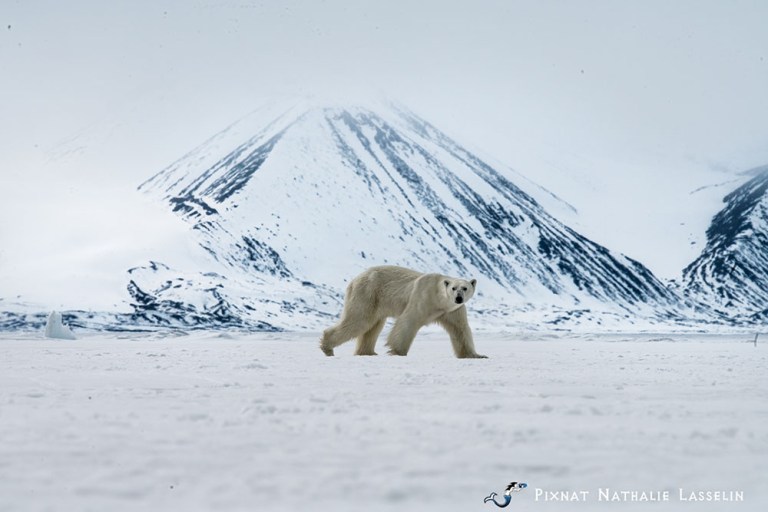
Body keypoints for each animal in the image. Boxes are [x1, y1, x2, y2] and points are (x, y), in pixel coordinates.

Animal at [319, 265, 487, 358]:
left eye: (465, 288)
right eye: (453, 288)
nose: (458, 298)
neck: (439, 300)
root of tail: (354, 280)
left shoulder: (453, 310)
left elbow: (460, 330)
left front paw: (477, 355)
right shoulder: (423, 297)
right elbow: (408, 321)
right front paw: (397, 351)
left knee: (373, 326)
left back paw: (367, 352)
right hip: (367, 292)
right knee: (359, 320)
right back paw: (328, 348)